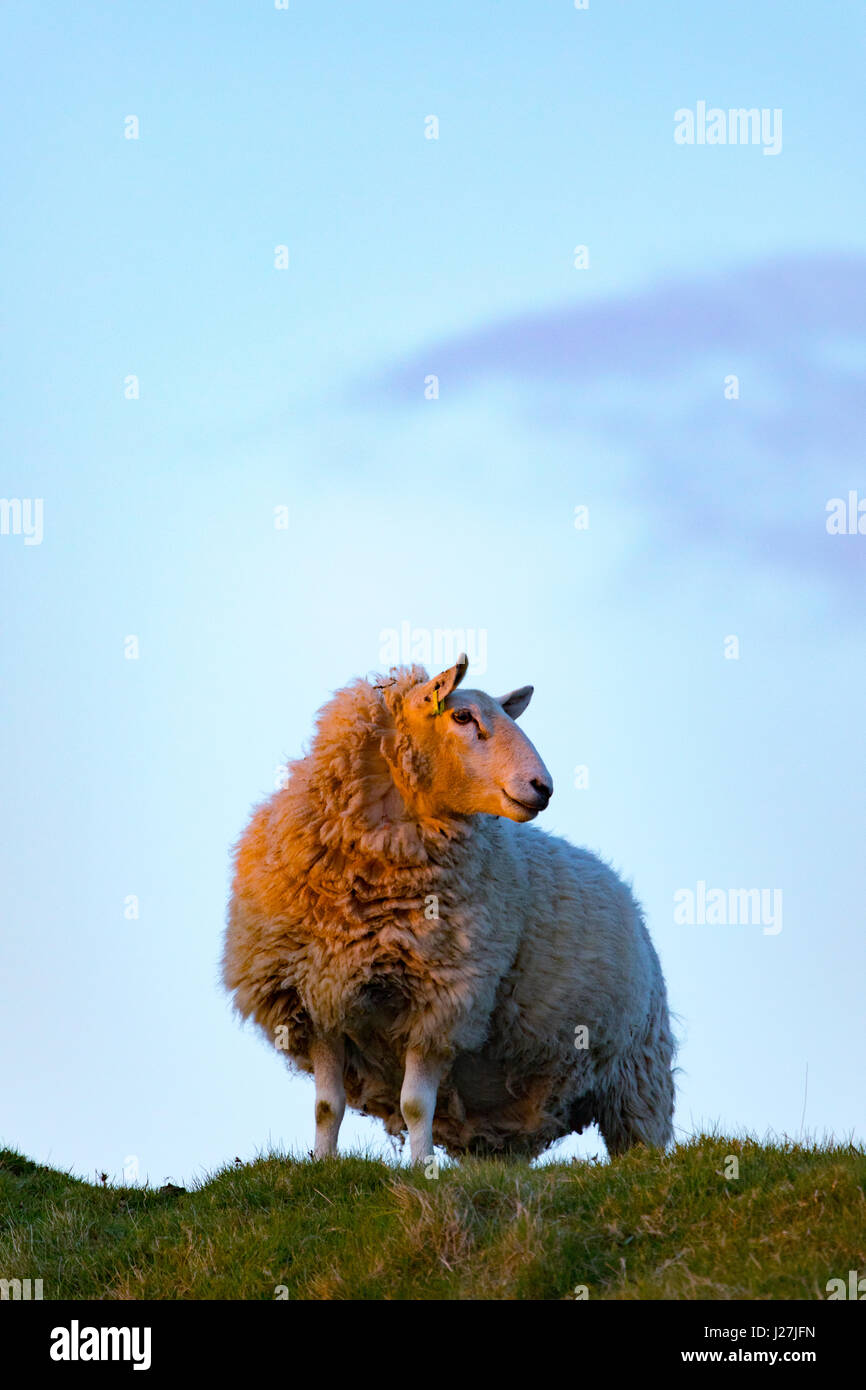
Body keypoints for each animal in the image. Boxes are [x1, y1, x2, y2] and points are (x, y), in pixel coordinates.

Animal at [222, 655, 675, 1164]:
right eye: (461, 717)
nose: (543, 787)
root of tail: (626, 891)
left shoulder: (442, 1000)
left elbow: (416, 1104)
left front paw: (422, 1167)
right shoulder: (317, 997)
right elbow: (326, 1106)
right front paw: (322, 1165)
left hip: (638, 1076)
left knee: (639, 1144)